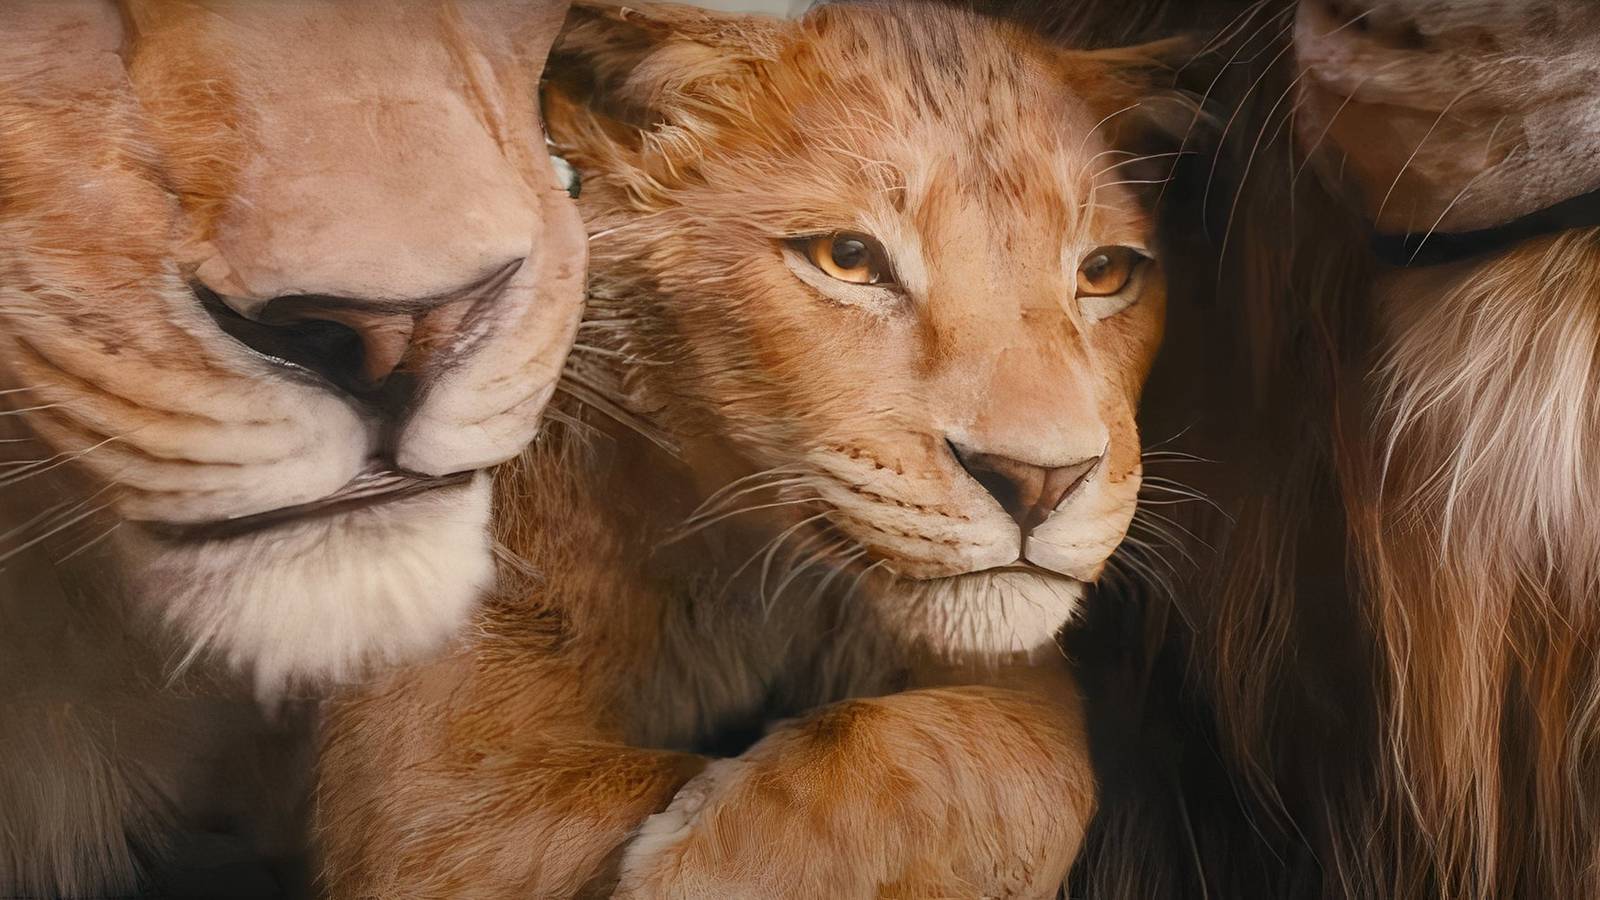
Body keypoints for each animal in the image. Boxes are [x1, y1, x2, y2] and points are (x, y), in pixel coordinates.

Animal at [316, 2, 1196, 896]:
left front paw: (721, 859)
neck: (737, 575)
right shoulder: (428, 792)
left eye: (1104, 272)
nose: (1042, 481)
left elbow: (1003, 758)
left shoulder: (1011, 681)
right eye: (849, 259)